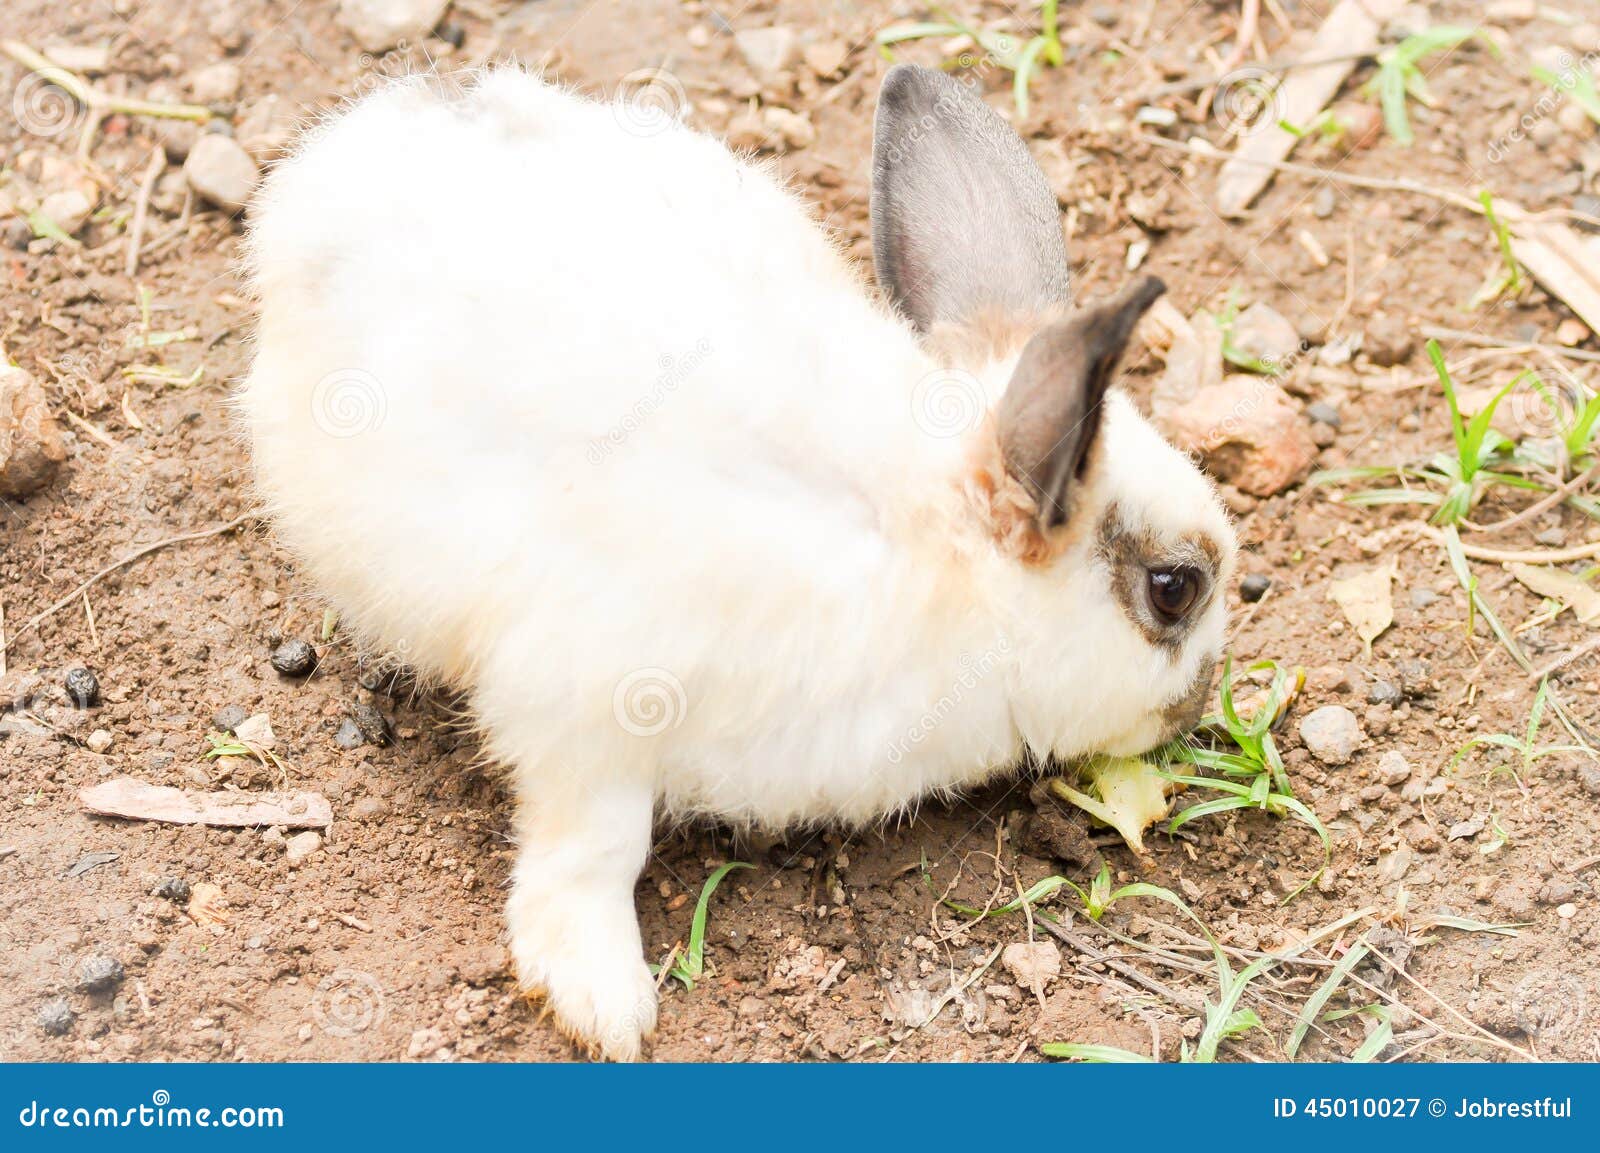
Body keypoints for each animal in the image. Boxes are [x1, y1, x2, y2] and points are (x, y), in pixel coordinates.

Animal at [238, 63, 1236, 1060]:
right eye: (1174, 589)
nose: (1192, 709)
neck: (938, 549)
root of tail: (323, 179)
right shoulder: (586, 710)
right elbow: (596, 848)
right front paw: (604, 1003)